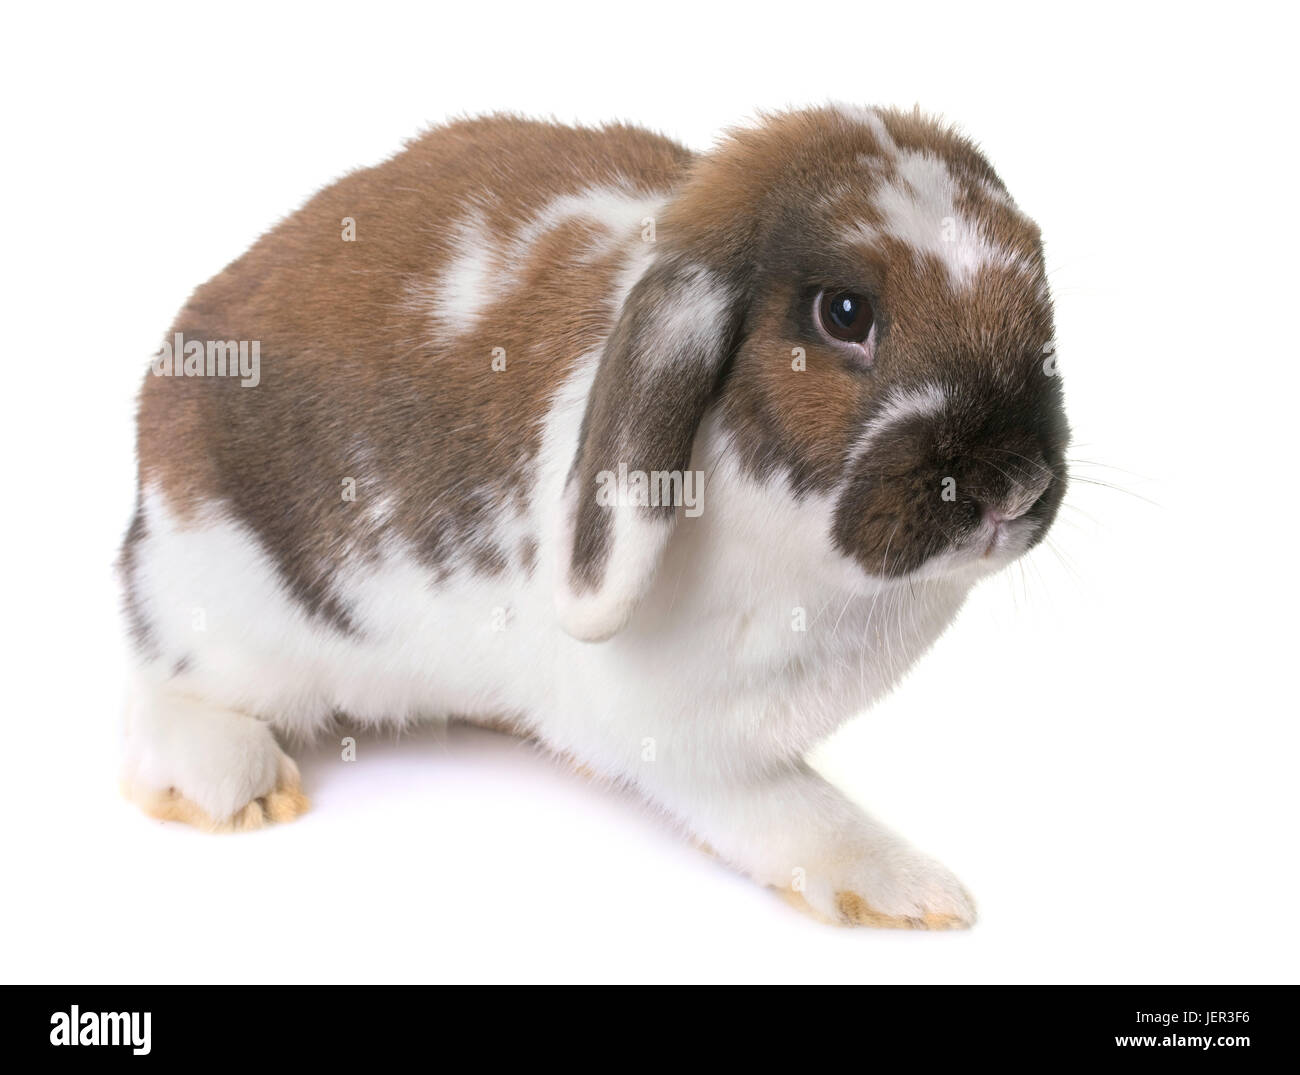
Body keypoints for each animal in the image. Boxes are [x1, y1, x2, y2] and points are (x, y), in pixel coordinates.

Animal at [118, 105, 1068, 928]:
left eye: (1041, 296)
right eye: (845, 311)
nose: (1016, 484)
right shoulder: (684, 743)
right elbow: (782, 810)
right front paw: (904, 888)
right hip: (225, 605)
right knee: (160, 691)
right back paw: (237, 784)